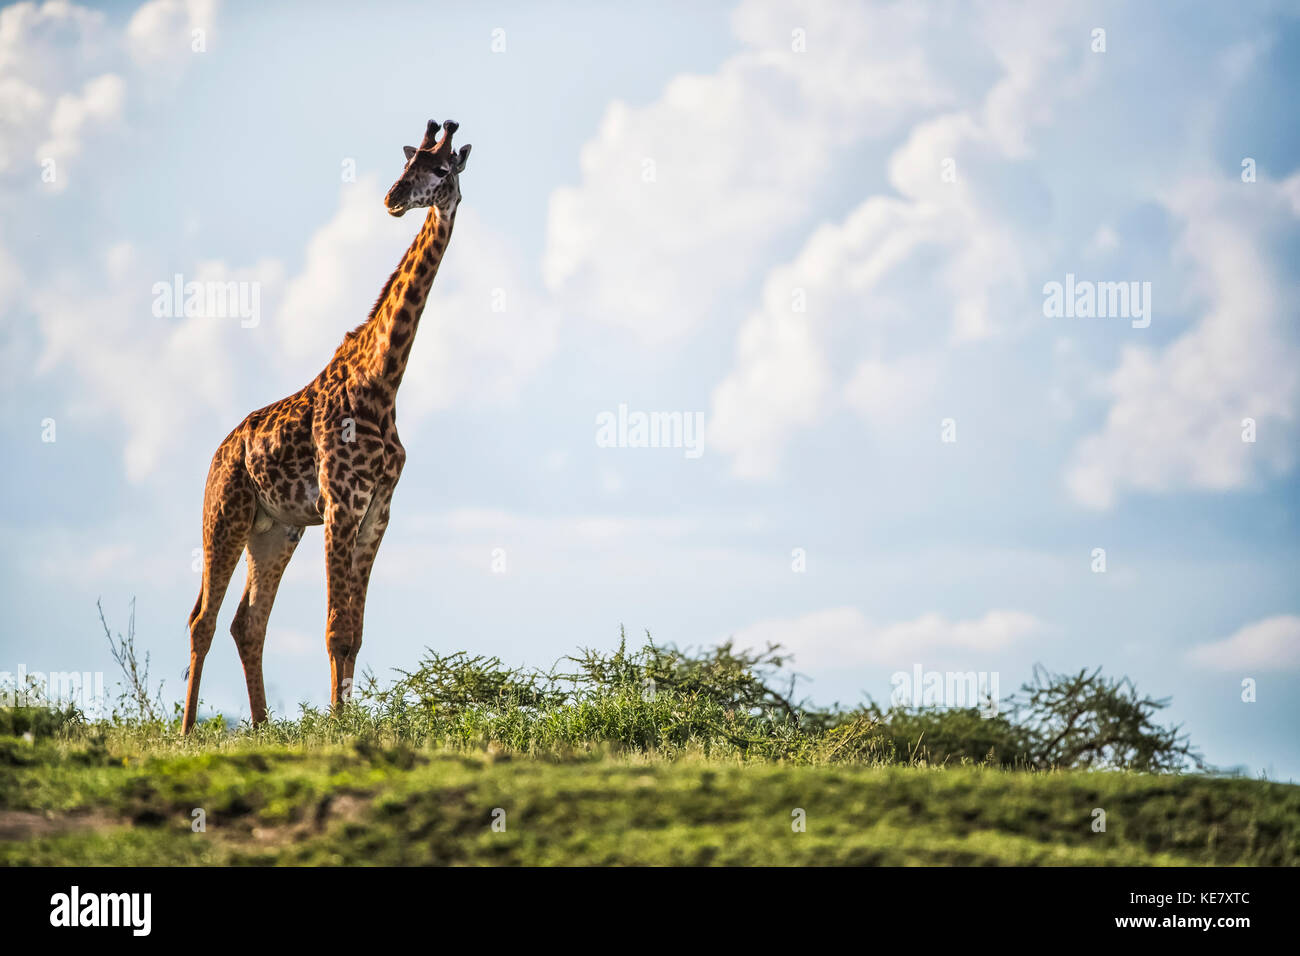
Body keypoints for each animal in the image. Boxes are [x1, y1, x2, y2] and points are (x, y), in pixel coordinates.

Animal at [182, 118, 471, 734]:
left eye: (441, 169)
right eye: (408, 164)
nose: (392, 198)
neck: (384, 380)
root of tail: (220, 451)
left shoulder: (377, 511)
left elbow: (354, 632)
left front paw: (346, 718)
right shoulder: (341, 503)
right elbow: (337, 628)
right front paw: (338, 726)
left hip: (275, 530)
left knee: (248, 622)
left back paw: (263, 727)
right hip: (224, 514)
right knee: (203, 617)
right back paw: (189, 730)